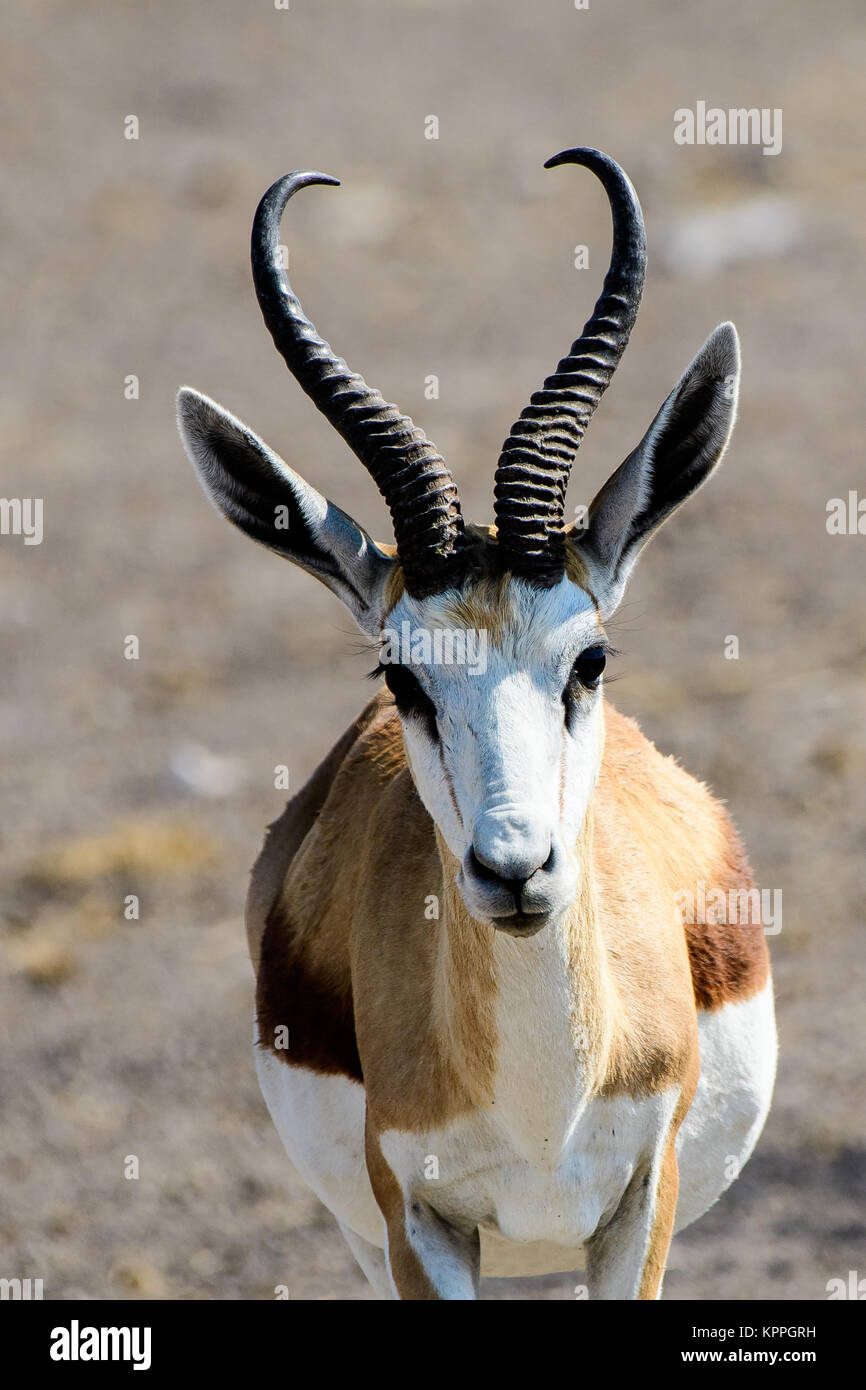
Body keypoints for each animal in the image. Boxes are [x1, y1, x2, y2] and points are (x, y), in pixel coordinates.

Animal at [177, 147, 777, 1300]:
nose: (514, 869)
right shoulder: (413, 1222)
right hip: (363, 1236)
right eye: (402, 676)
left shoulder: (643, 1207)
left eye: (588, 659)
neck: (545, 1101)